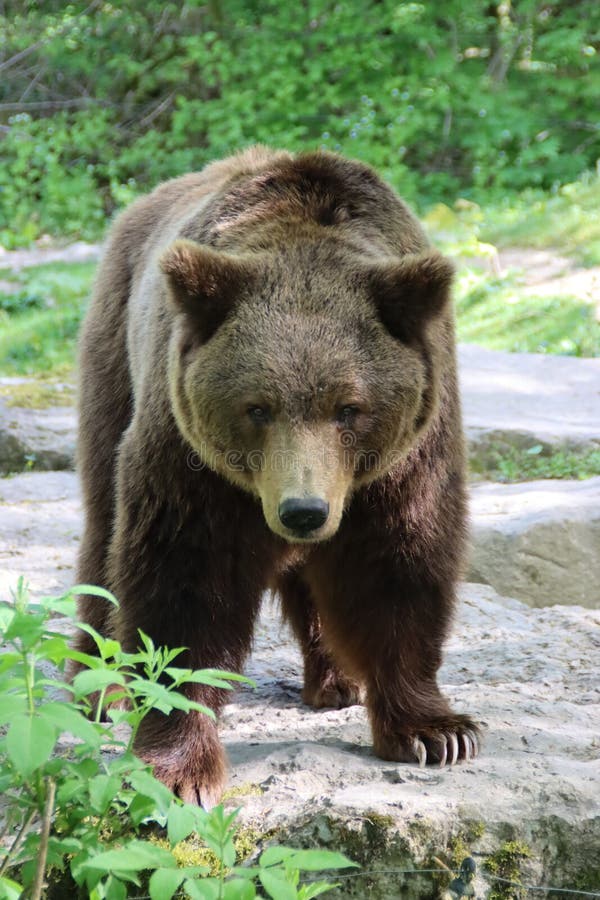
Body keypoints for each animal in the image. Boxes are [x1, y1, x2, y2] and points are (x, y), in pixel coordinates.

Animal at [73, 146, 479, 807]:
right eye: (257, 407)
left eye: (350, 408)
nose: (303, 511)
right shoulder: (193, 463)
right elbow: (183, 587)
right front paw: (178, 769)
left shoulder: (404, 461)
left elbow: (399, 566)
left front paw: (436, 732)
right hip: (115, 352)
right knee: (102, 527)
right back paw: (98, 687)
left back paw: (338, 680)